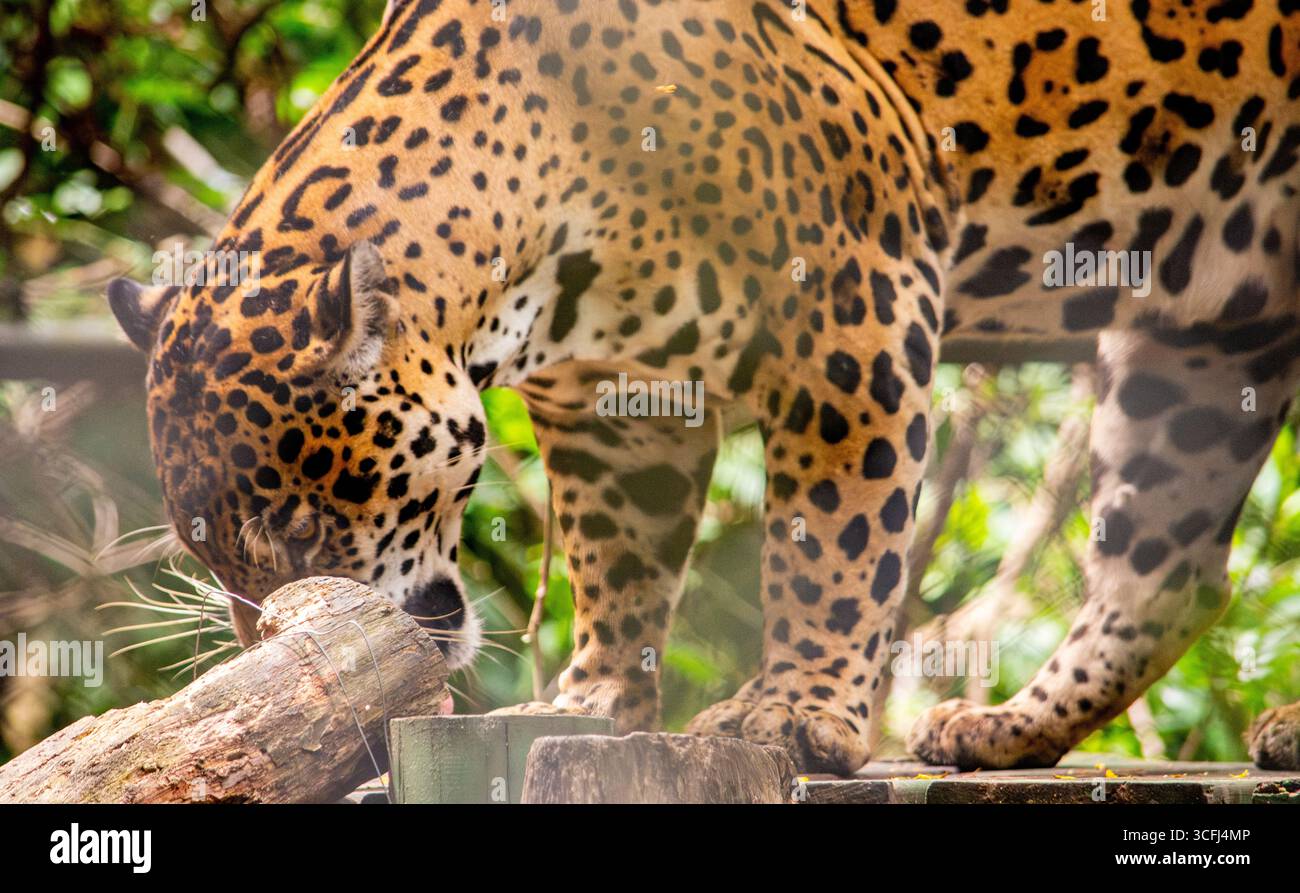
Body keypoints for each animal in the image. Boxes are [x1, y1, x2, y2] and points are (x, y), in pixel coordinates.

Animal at [106, 0, 1300, 776]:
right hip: (1213, 324)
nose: (277, 660)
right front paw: (592, 699)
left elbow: (834, 534)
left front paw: (793, 712)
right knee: (1172, 569)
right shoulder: (608, 398)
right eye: (215, 561)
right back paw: (1007, 729)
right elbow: (616, 558)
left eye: (308, 532)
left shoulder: (855, 293)